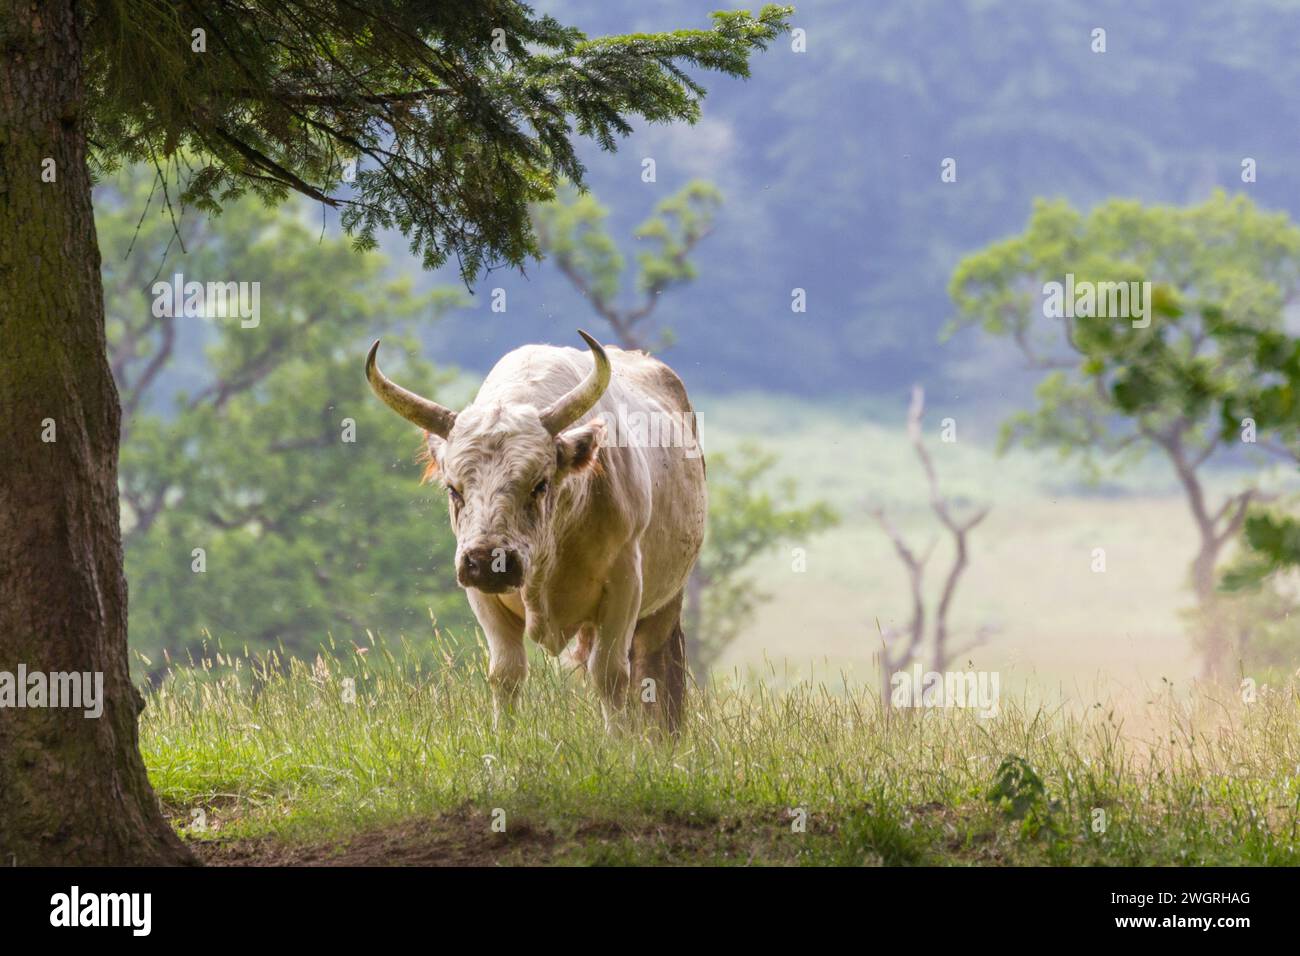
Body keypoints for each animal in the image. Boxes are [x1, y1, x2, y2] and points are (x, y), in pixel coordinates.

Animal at [365, 331, 707, 731]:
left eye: (539, 485)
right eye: (453, 489)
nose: (488, 561)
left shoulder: (625, 586)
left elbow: (610, 675)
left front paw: (618, 741)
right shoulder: (481, 595)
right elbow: (506, 672)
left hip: (665, 602)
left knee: (655, 673)